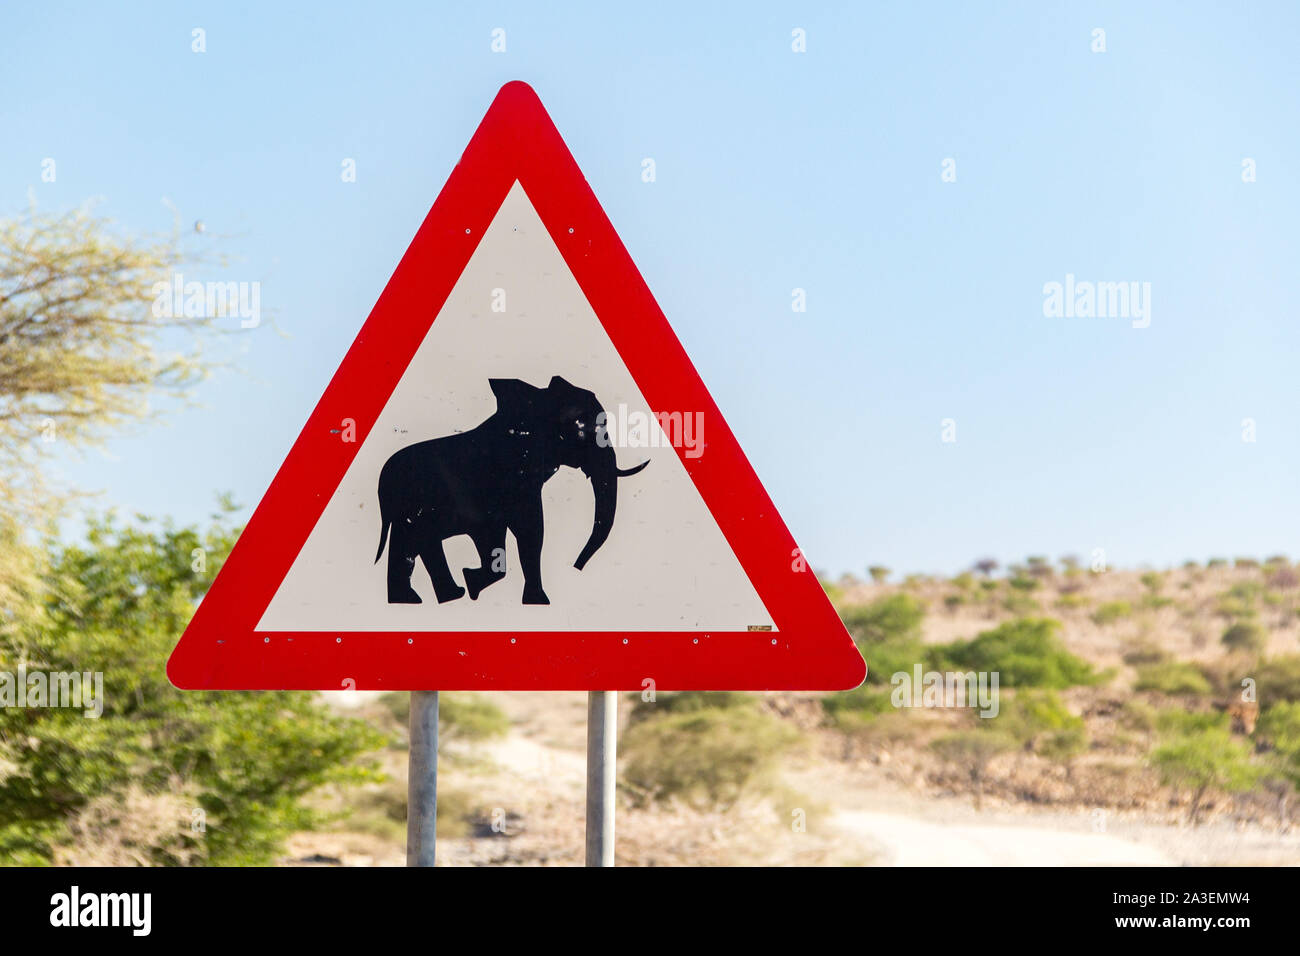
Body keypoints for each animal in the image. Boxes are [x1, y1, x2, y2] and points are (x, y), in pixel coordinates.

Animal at [373, 376, 649, 605]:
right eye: (583, 428)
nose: (576, 567)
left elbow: (526, 533)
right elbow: (525, 531)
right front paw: (474, 582)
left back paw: (414, 600)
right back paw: (448, 596)